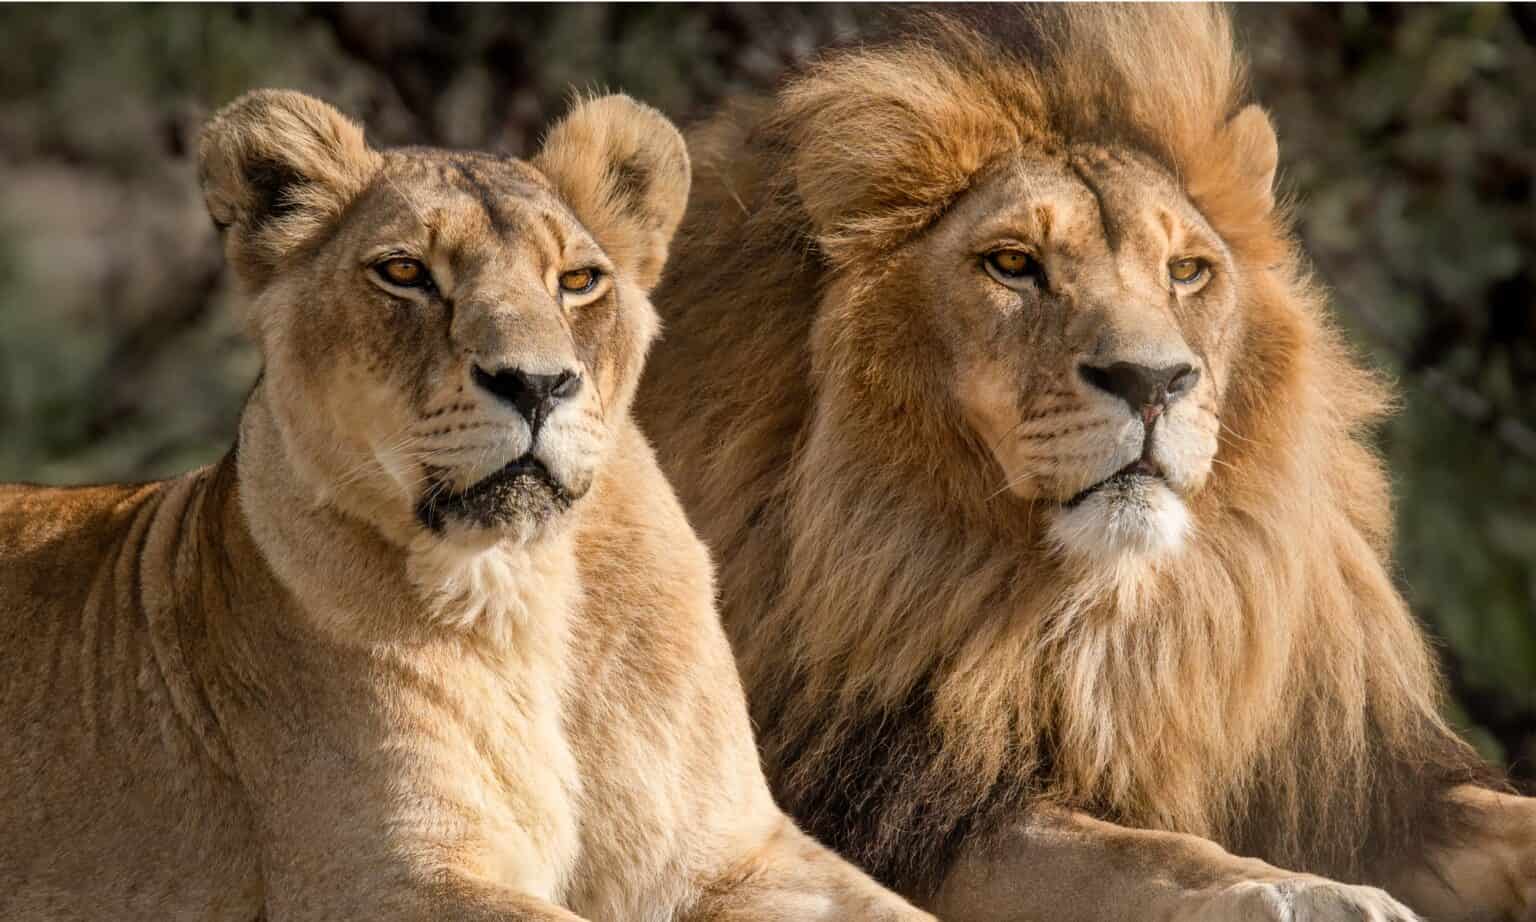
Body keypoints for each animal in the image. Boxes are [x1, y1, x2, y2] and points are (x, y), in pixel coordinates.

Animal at [0, 89, 932, 922]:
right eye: (406, 272)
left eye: (578, 280)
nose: (537, 384)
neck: (529, 589)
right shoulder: (386, 879)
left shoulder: (728, 853)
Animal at [636, 6, 1536, 922]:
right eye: (1011, 264)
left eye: (1187, 272)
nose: (1153, 381)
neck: (1105, 618)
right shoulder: (897, 799)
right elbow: (1132, 853)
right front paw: (1305, 892)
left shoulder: (1357, 786)